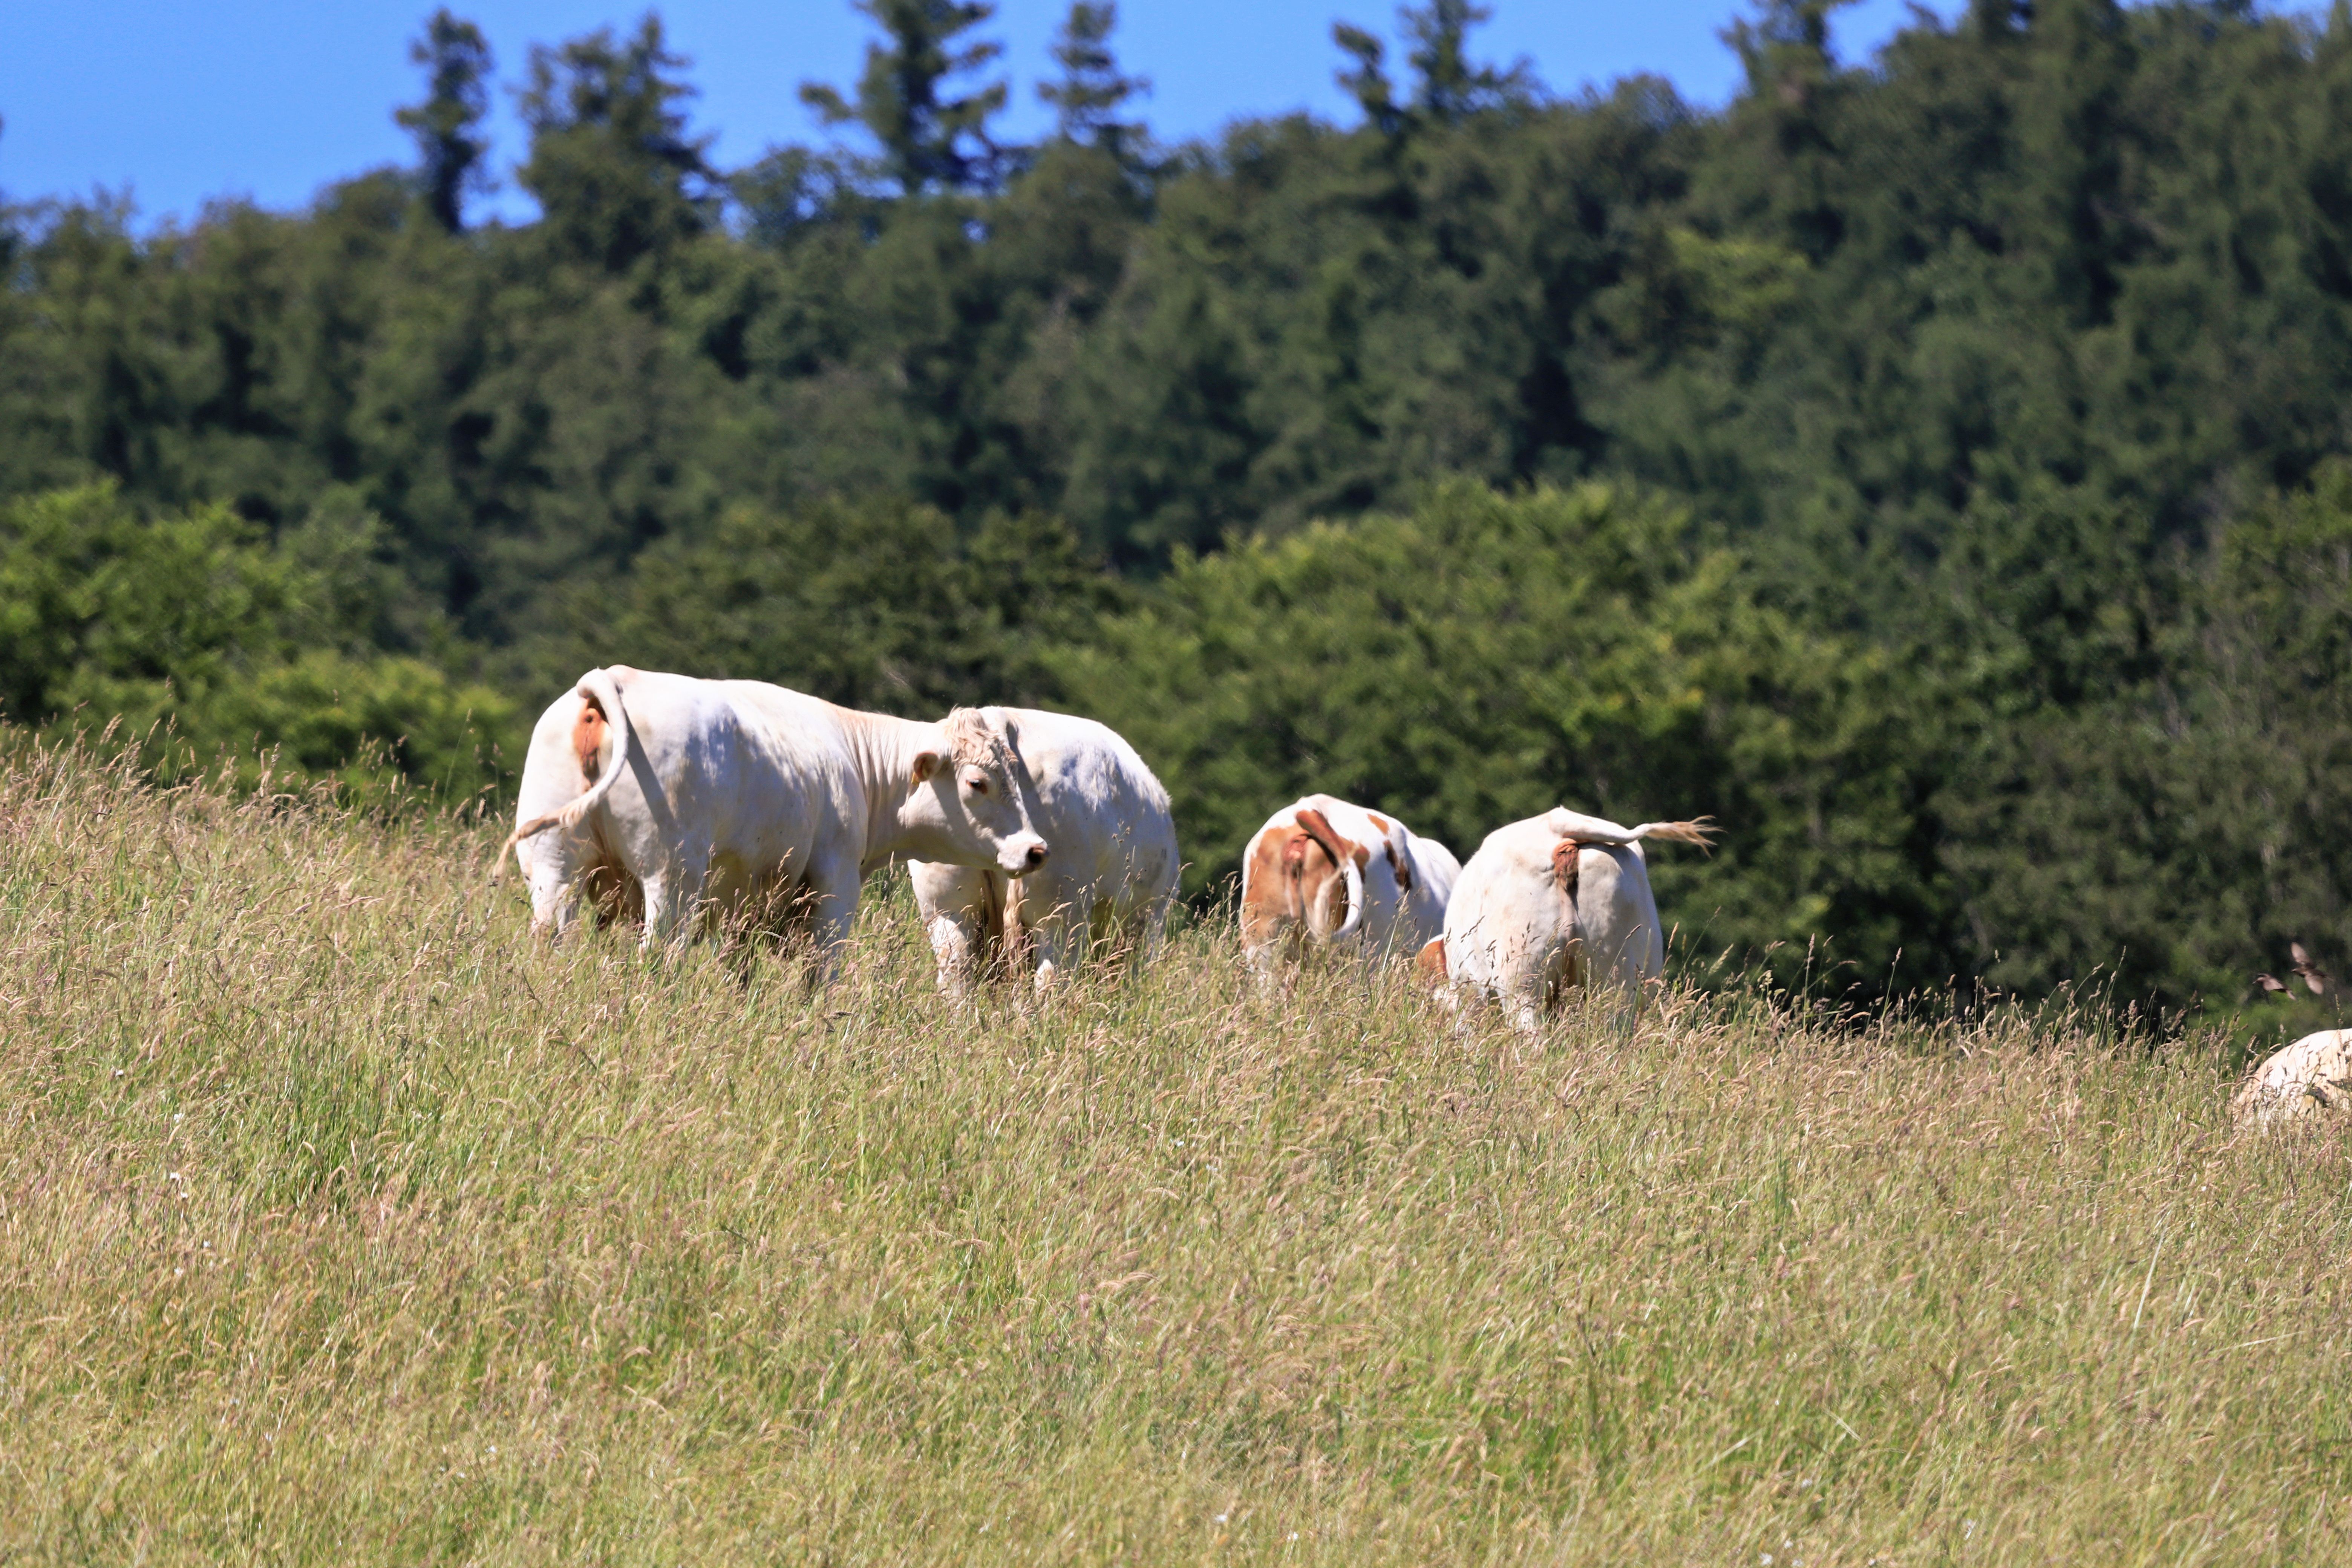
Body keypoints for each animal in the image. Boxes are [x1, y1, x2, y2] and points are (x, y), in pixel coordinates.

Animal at [499, 667, 1050, 982]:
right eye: (978, 783)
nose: (1035, 849)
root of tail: (614, 678)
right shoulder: (835, 884)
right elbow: (822, 974)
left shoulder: (743, 901)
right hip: (670, 877)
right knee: (658, 953)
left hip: (554, 869)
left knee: (551, 939)